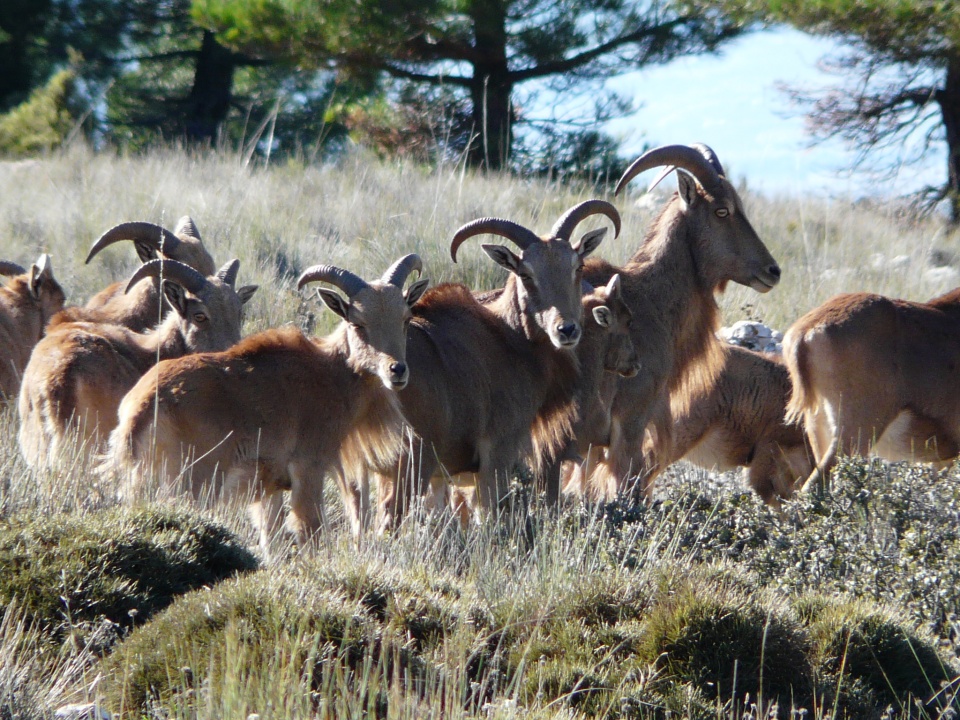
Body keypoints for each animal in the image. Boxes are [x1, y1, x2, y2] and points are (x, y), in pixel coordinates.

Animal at [106, 255, 428, 551]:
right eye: (358, 323)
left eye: (405, 318)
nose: (397, 370)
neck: (331, 373)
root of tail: (142, 408)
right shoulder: (308, 469)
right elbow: (310, 531)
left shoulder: (268, 489)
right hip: (193, 483)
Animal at [375, 200, 616, 529]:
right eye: (526, 274)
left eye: (576, 267)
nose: (566, 330)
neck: (508, 337)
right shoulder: (497, 450)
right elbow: (490, 511)